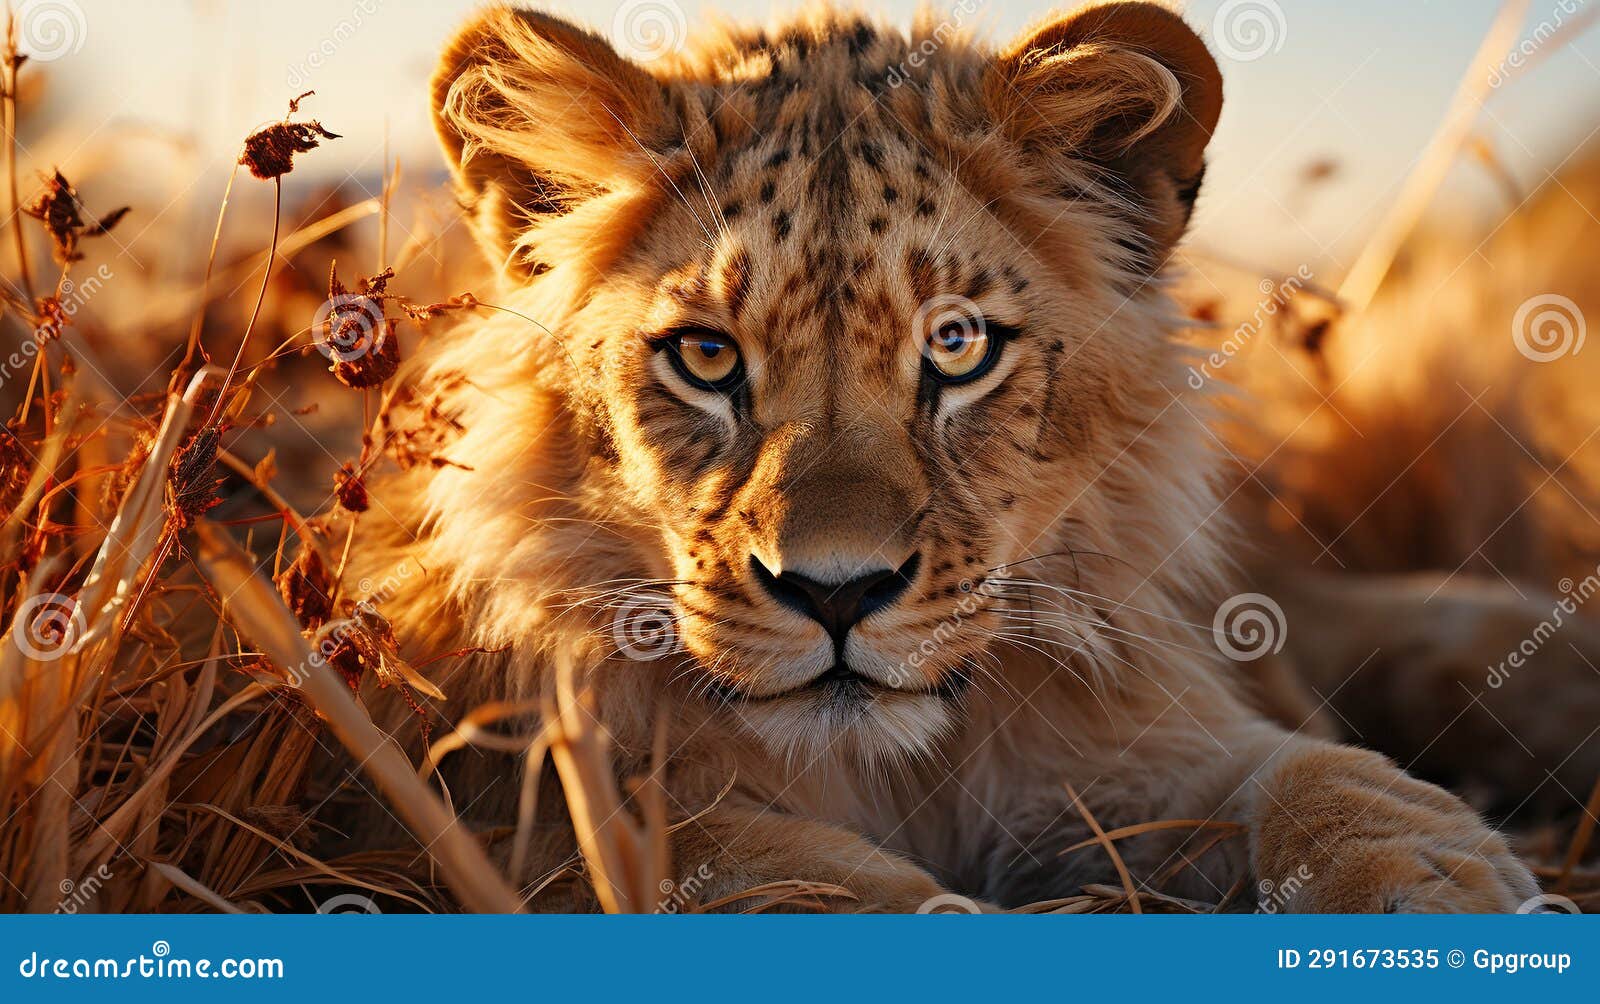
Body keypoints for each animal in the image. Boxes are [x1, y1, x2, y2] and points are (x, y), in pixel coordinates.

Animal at [351, 1, 1551, 912]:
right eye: (706, 355)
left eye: (958, 346)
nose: (837, 593)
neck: (897, 770)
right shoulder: (565, 824)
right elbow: (815, 890)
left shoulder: (1131, 748)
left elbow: (1318, 769)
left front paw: (1431, 896)